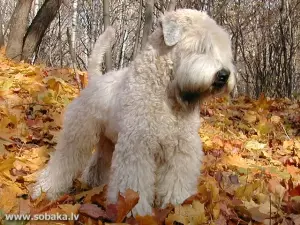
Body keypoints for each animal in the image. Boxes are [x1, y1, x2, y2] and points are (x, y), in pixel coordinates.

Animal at [31, 9, 236, 216]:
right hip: (79, 133)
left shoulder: (181, 149)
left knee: (98, 162)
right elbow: (133, 183)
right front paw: (135, 213)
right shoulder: (137, 146)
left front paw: (179, 206)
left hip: (108, 141)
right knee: (63, 161)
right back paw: (45, 191)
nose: (224, 75)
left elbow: (177, 181)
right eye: (201, 46)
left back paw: (92, 183)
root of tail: (95, 80)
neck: (167, 96)